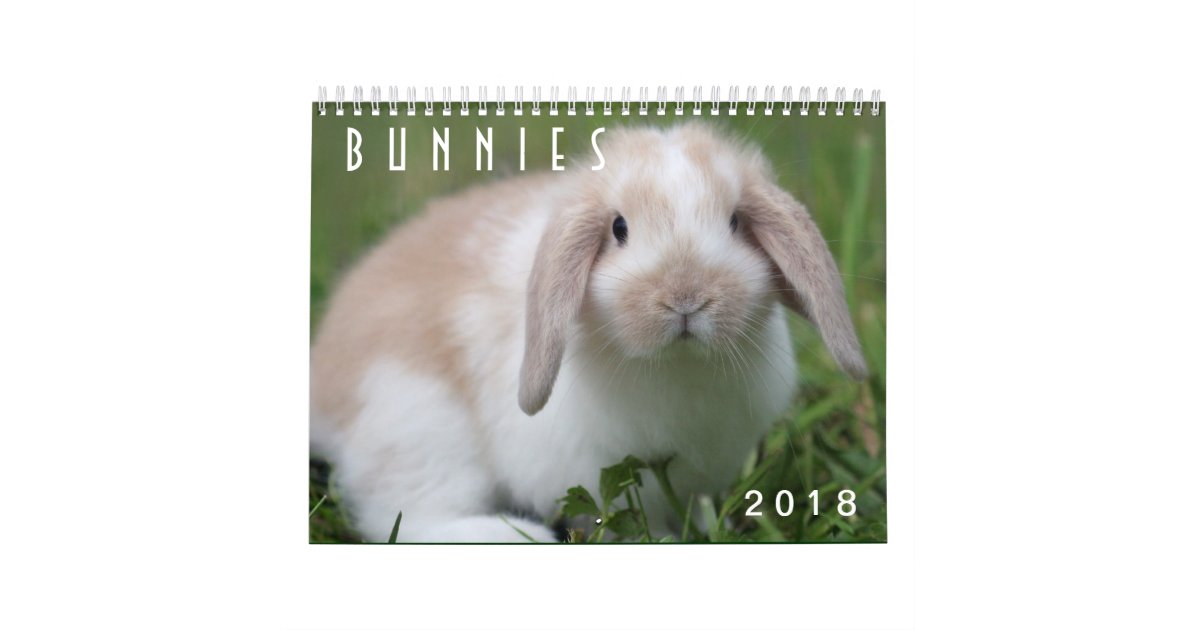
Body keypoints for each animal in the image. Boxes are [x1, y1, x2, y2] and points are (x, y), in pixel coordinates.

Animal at [310, 122, 866, 542]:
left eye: (734, 223)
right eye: (619, 228)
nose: (685, 297)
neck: (677, 366)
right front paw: (656, 538)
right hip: (421, 431)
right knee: (403, 516)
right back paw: (509, 534)